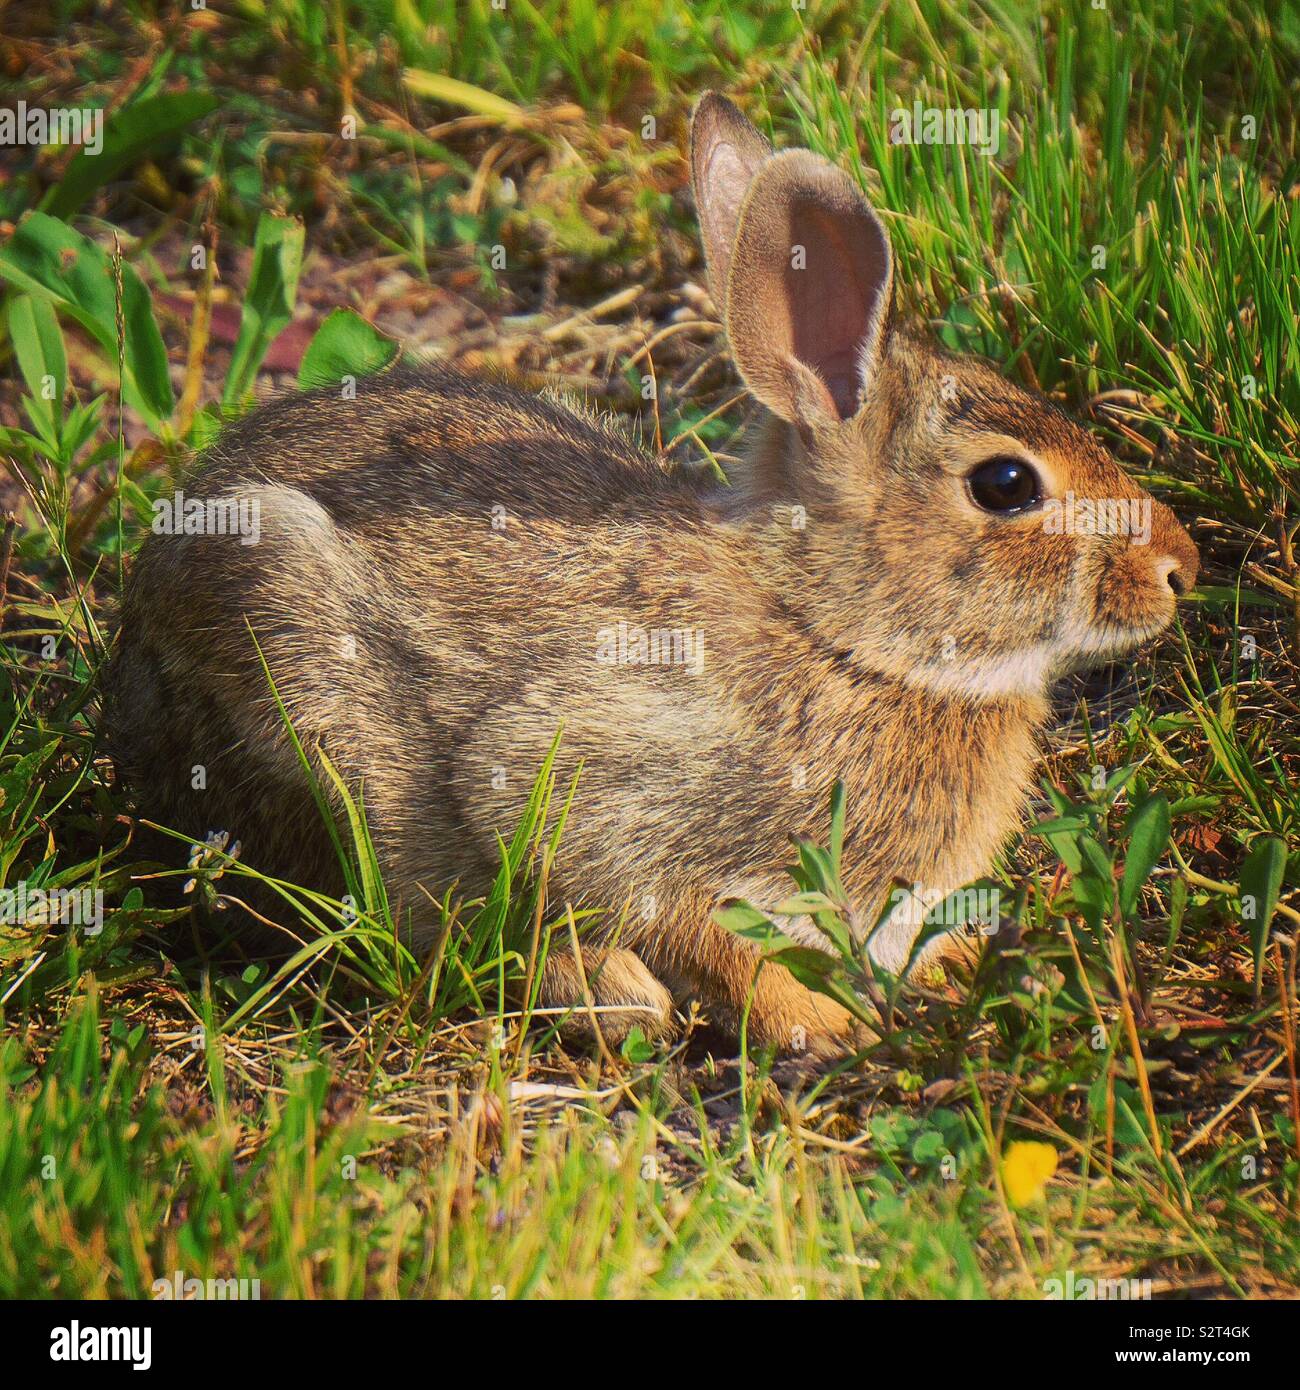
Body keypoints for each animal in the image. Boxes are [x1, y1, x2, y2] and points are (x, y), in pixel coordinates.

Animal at [104, 92, 1198, 1057]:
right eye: (1006, 484)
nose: (1179, 568)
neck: (836, 637)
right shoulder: (608, 789)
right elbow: (687, 924)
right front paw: (818, 1022)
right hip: (287, 661)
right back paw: (607, 992)